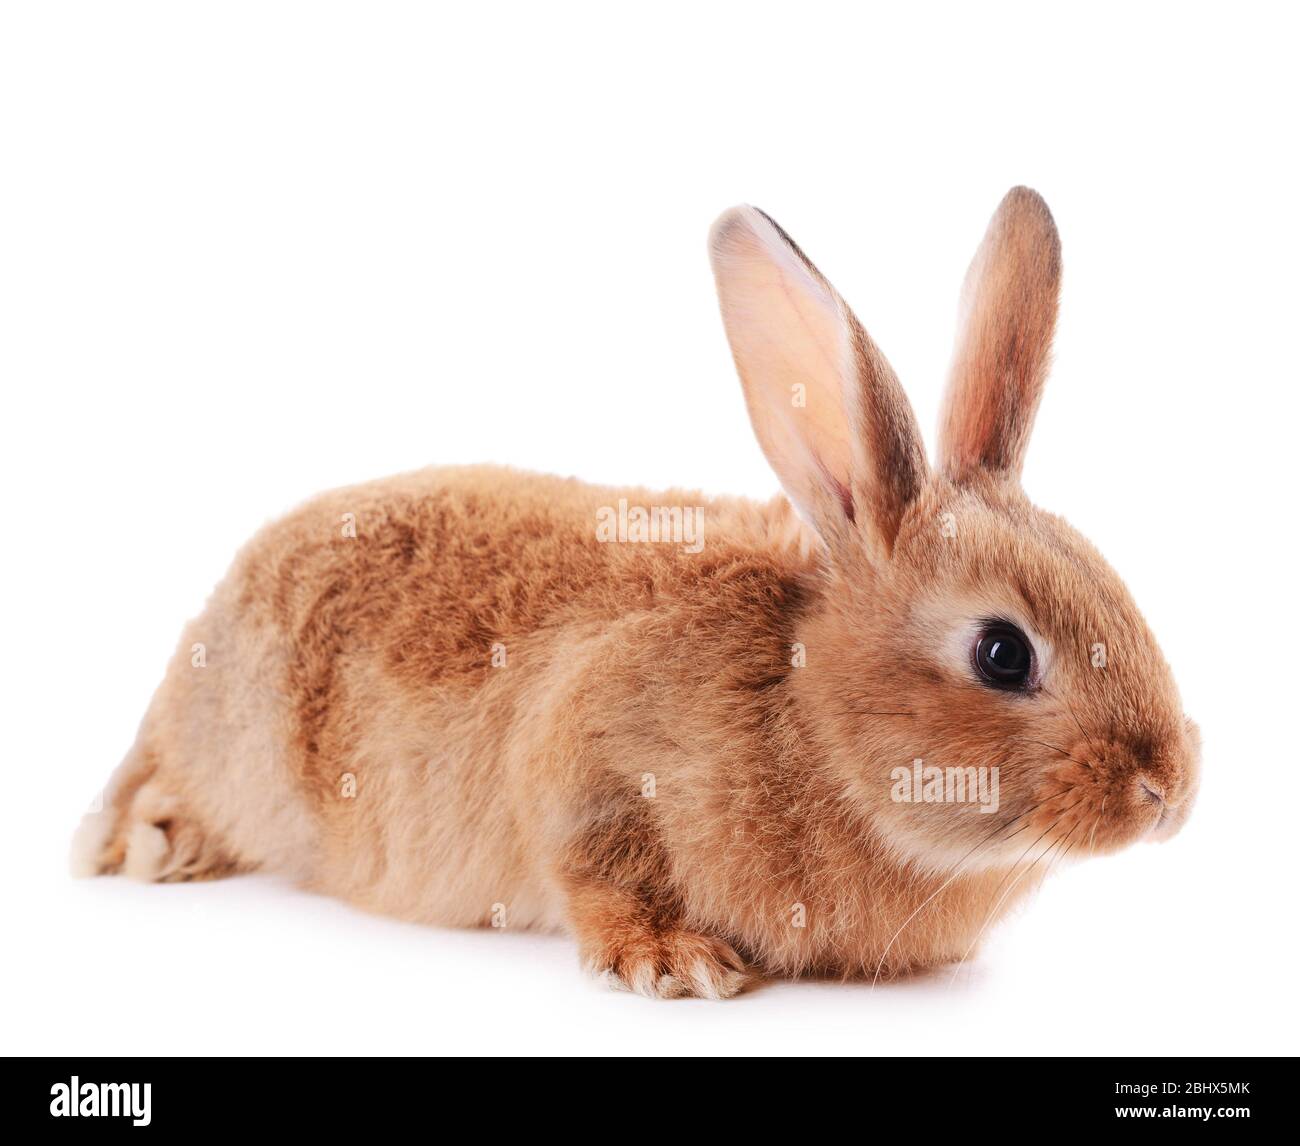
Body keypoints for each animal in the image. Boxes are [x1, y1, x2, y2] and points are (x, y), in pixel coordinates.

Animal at [72, 187, 1199, 999]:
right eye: (1002, 653)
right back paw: (150, 845)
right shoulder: (589, 755)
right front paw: (674, 961)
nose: (1169, 793)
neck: (807, 706)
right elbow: (593, 868)